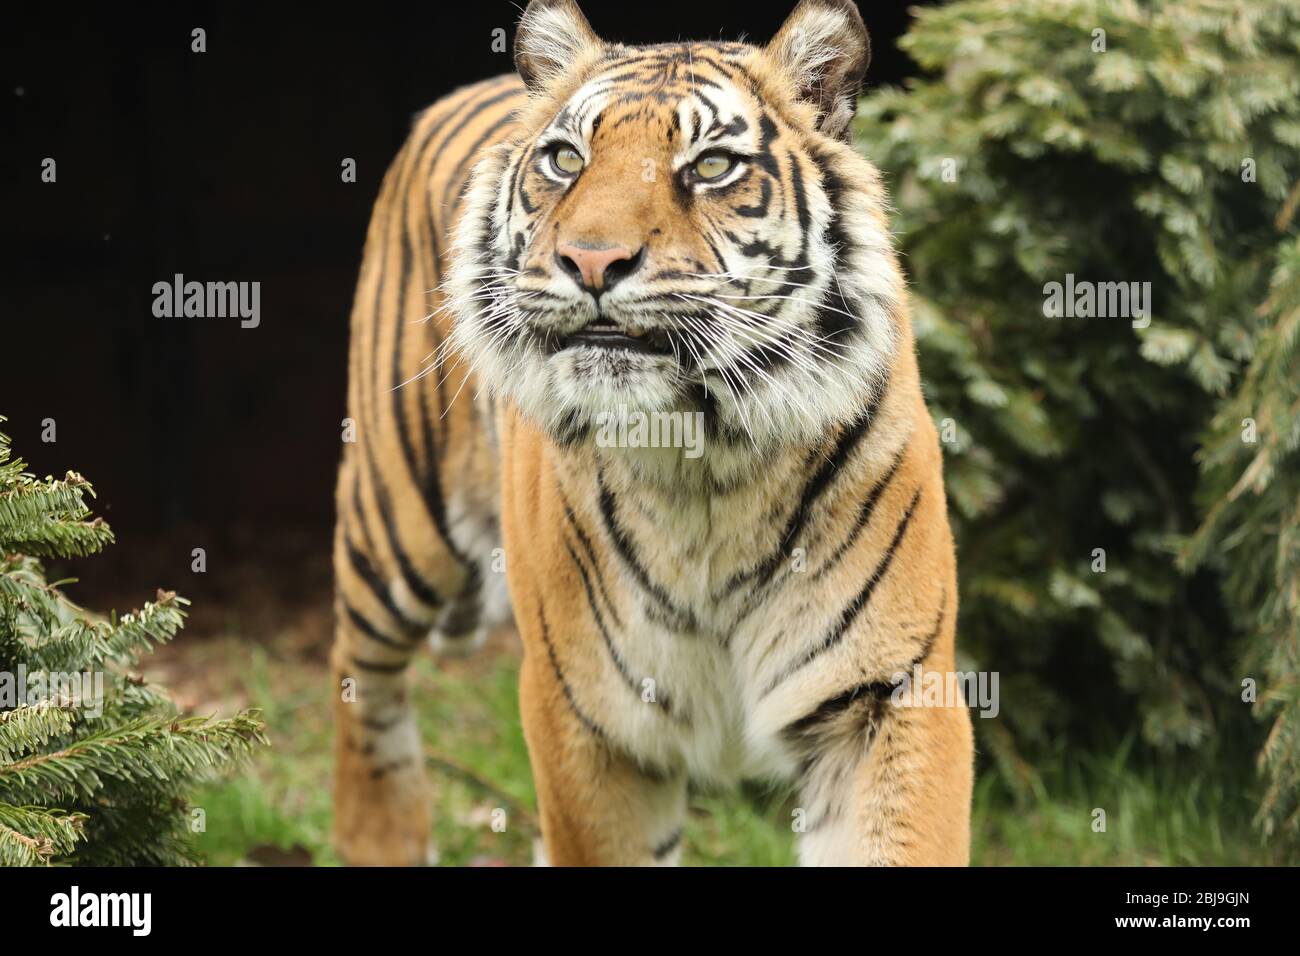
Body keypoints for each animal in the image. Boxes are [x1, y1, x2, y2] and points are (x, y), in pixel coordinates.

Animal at [331, 0, 973, 866]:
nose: (591, 260)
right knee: (359, 676)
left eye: (711, 167)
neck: (706, 457)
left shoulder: (888, 696)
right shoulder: (587, 717)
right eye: (567, 159)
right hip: (398, 522)